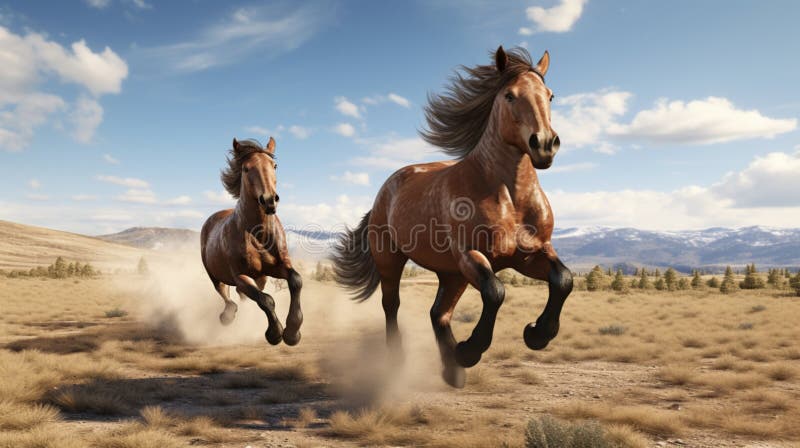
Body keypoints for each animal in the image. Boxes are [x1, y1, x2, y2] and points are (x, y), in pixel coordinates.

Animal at [200, 137, 303, 346]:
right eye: (246, 168)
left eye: (274, 165)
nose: (269, 200)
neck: (259, 235)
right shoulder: (241, 276)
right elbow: (266, 300)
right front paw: (275, 334)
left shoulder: (277, 267)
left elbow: (296, 280)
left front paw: (292, 333)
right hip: (214, 274)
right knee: (225, 293)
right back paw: (227, 316)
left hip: (261, 277)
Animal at [332, 46, 572, 388]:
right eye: (510, 96)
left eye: (550, 96)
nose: (545, 145)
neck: (510, 198)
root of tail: (386, 188)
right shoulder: (471, 256)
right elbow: (495, 292)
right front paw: (470, 350)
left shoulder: (530, 255)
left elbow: (563, 279)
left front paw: (536, 335)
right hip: (393, 259)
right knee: (392, 304)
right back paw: (400, 359)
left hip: (451, 274)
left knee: (438, 313)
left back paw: (453, 371)